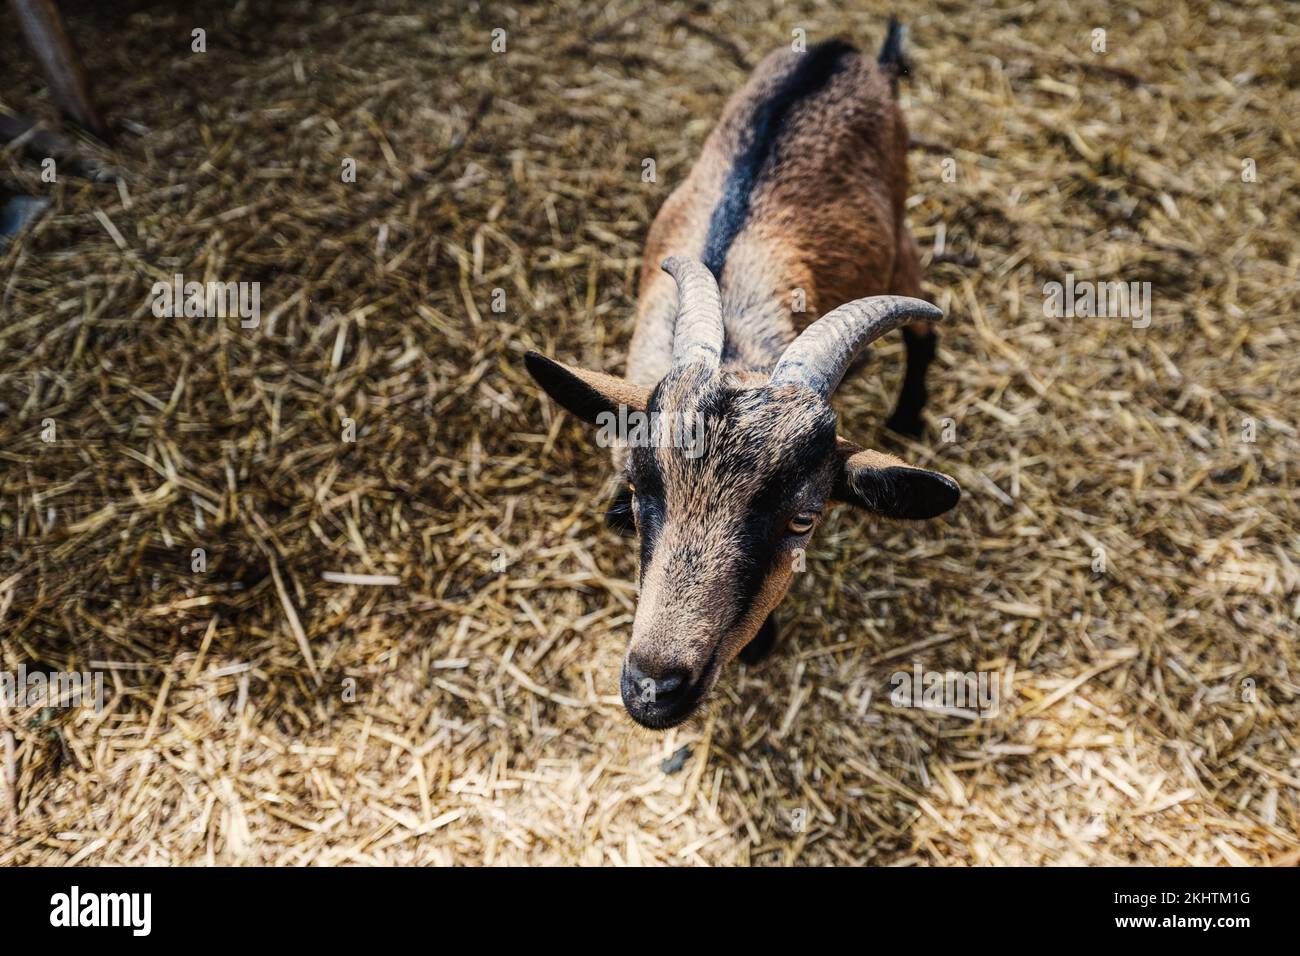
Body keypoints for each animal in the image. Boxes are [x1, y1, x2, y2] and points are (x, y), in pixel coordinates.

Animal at [525, 21, 960, 729]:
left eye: (803, 521)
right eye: (637, 495)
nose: (654, 688)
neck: (735, 350)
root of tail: (844, 51)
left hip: (901, 239)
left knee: (925, 326)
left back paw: (908, 414)